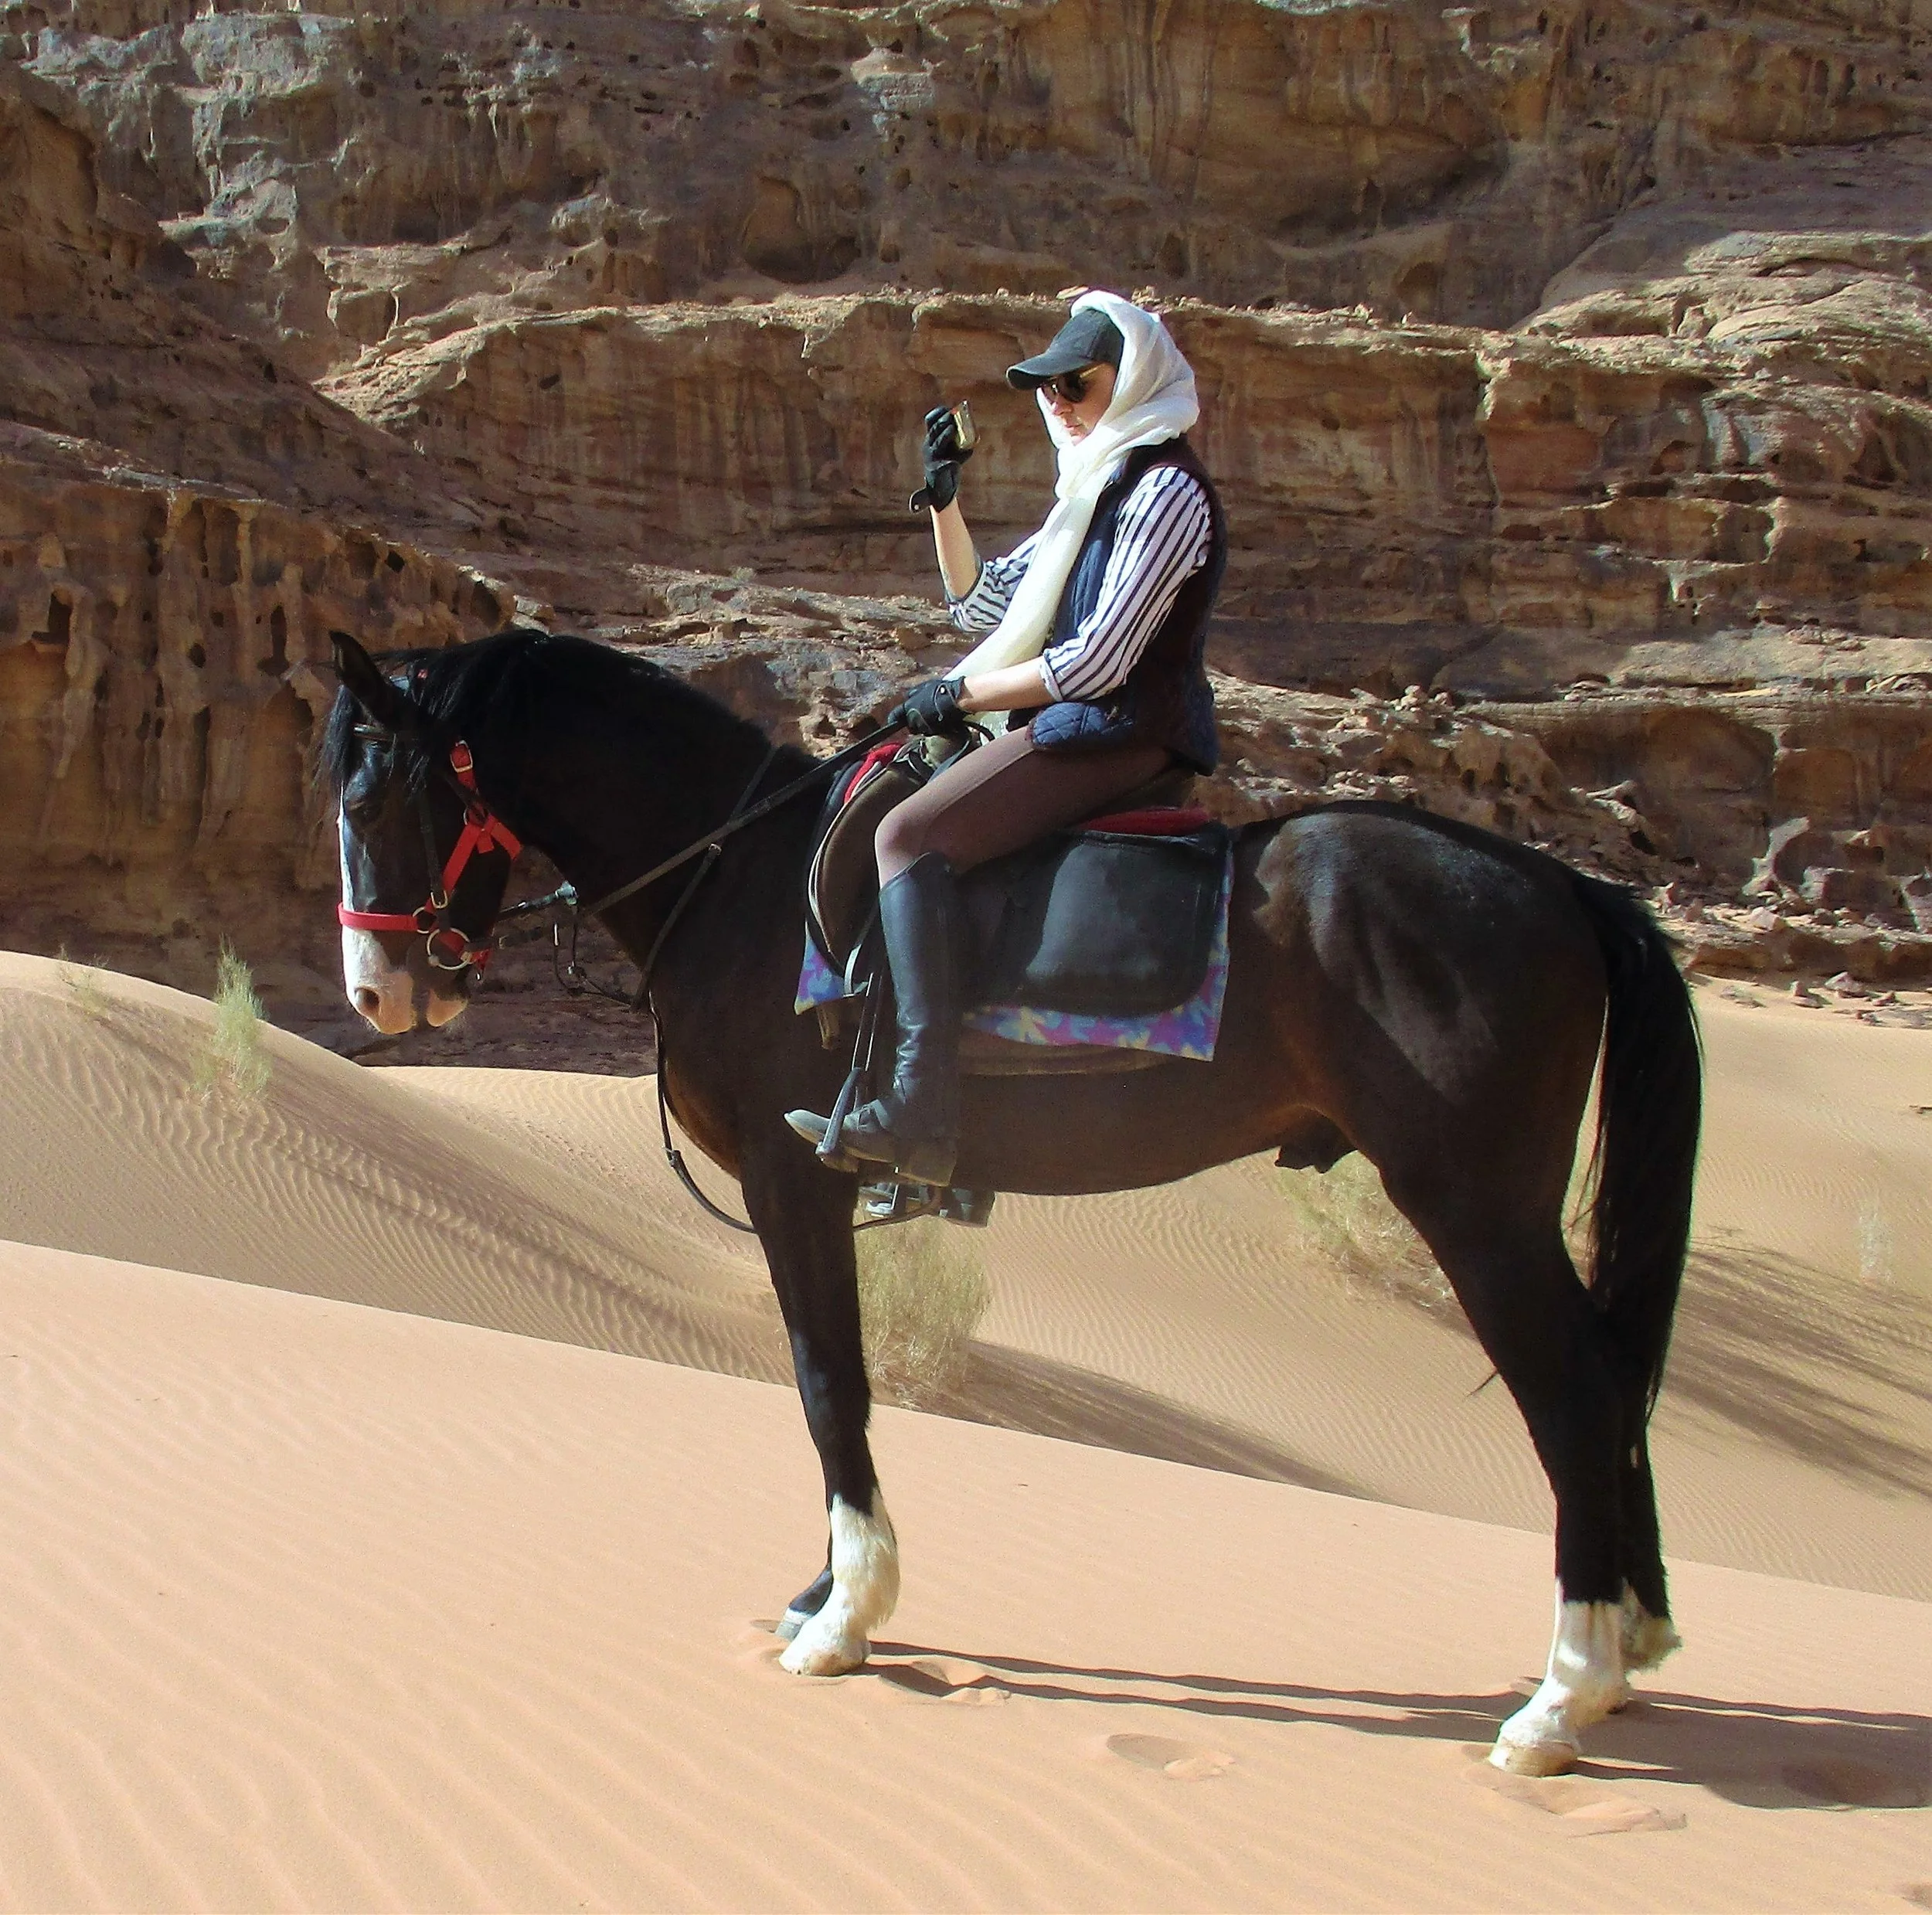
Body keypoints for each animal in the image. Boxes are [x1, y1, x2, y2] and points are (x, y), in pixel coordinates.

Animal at [325, 624, 1701, 1777]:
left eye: (373, 795)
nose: (379, 992)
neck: (742, 874)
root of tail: (1564, 886)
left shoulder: (792, 1177)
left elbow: (829, 1383)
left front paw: (846, 1616)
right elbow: (837, 1381)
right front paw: (824, 1590)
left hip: (1476, 1209)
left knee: (1578, 1402)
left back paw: (1560, 1699)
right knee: (1611, 1385)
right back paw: (1627, 1652)